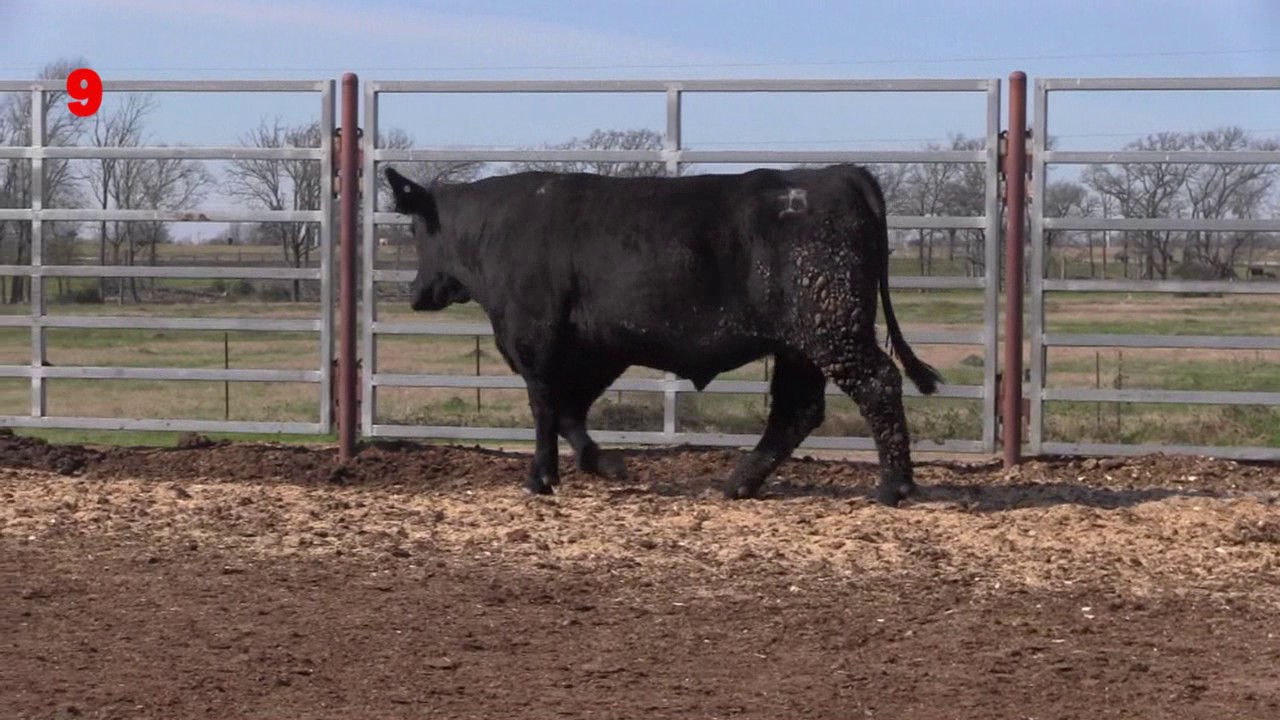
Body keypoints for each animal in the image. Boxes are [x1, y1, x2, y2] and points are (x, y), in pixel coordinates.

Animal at [385, 163, 943, 506]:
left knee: (877, 384)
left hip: (832, 329)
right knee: (797, 409)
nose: (415, 293)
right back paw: (740, 483)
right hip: (799, 344)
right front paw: (606, 464)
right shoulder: (594, 348)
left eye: (415, 230)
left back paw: (894, 486)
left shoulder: (533, 339)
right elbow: (567, 410)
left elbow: (544, 407)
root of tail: (838, 173)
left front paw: (540, 478)